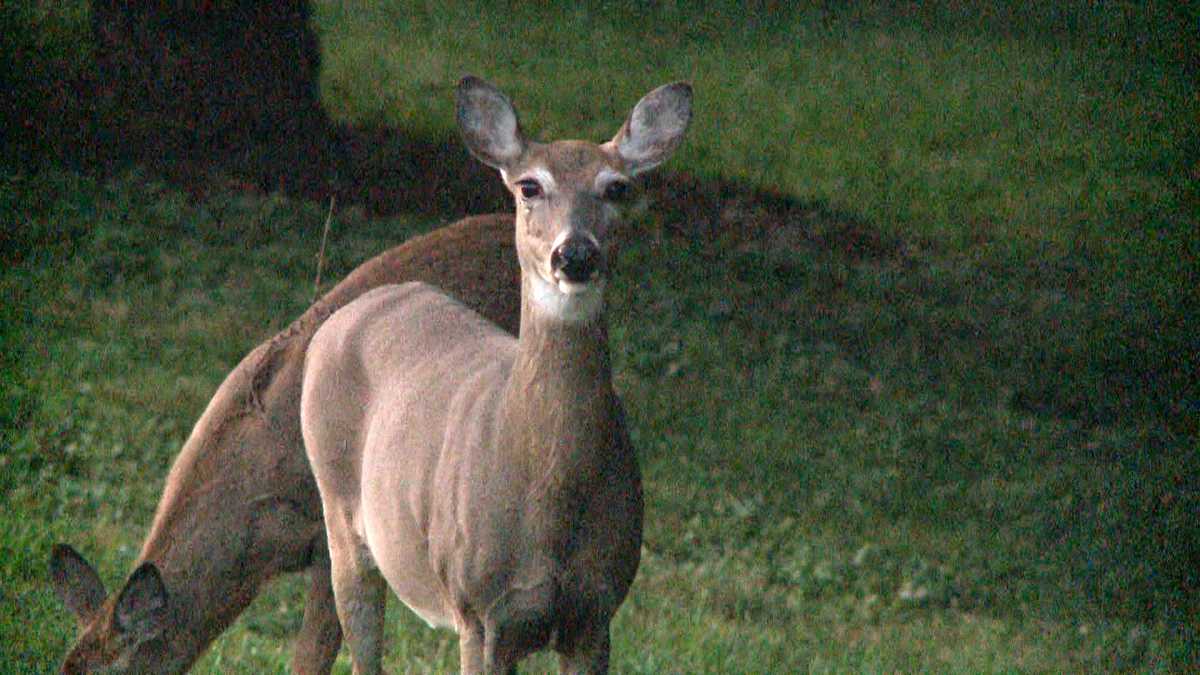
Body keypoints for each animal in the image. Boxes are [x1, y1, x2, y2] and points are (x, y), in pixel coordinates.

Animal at [299, 76, 691, 673]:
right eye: (529, 185)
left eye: (617, 188)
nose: (575, 254)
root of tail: (349, 311)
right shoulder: (480, 608)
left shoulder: (596, 610)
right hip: (341, 513)